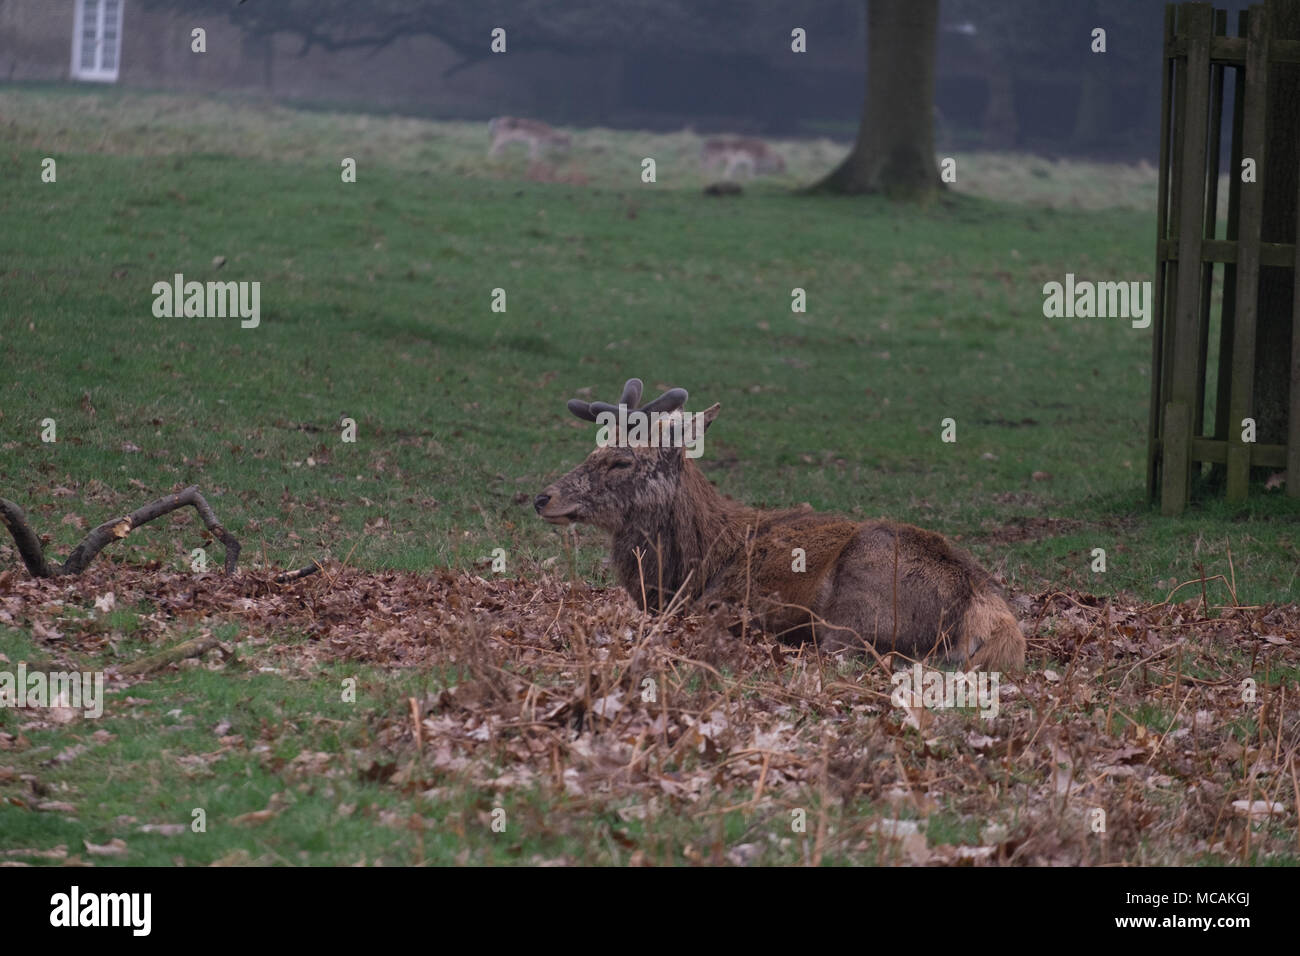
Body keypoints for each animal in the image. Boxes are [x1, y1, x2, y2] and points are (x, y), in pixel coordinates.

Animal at [535, 379, 1025, 672]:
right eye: (592, 450)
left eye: (621, 460)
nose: (543, 497)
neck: (685, 575)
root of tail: (990, 614)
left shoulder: (721, 605)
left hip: (858, 613)